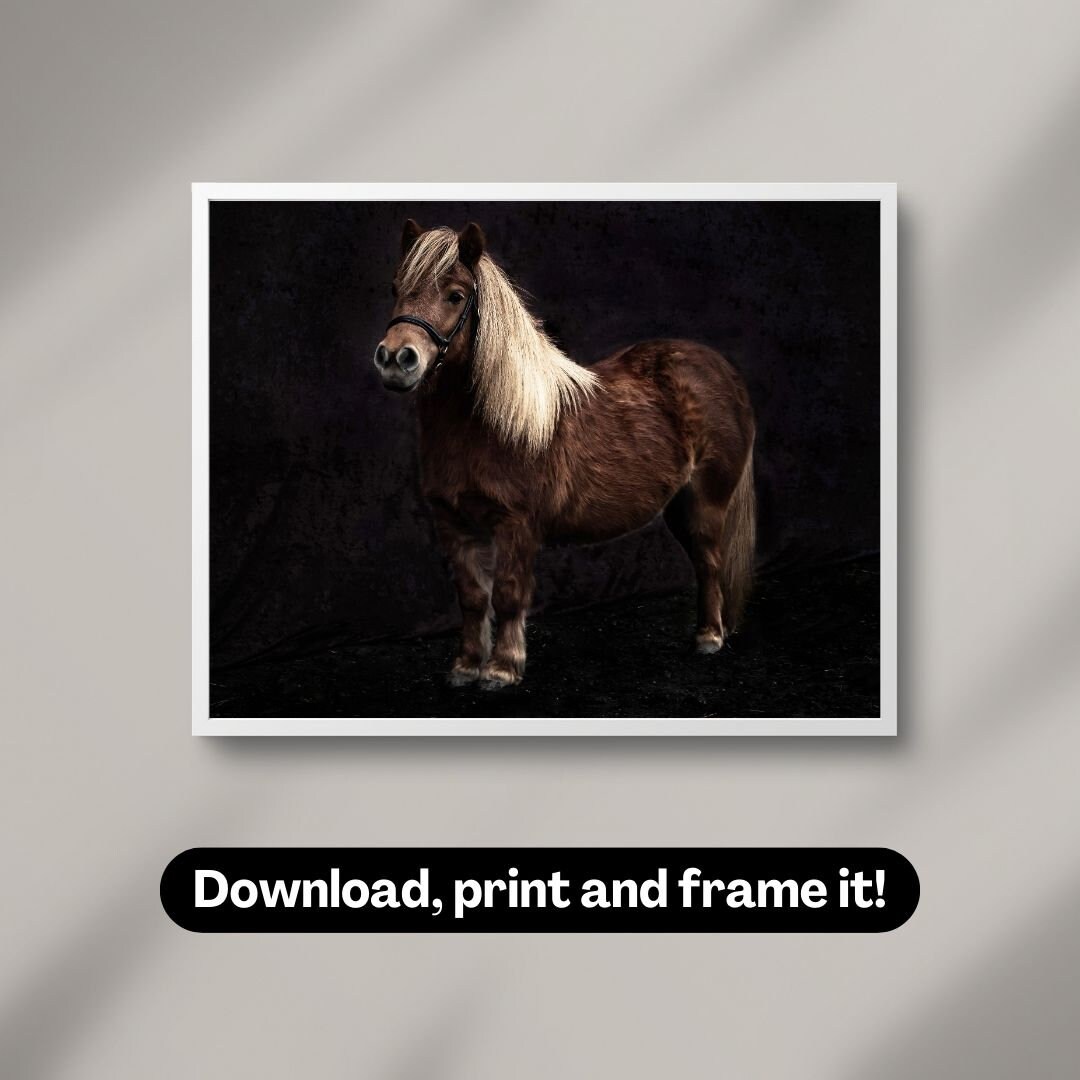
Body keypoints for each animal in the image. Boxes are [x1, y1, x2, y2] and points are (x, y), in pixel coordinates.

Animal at [374, 219, 756, 690]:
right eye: (396, 288)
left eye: (456, 295)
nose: (395, 358)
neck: (489, 426)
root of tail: (720, 368)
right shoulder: (454, 524)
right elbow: (473, 596)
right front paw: (465, 666)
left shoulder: (516, 525)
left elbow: (508, 593)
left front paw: (502, 669)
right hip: (678, 506)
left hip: (706, 503)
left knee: (709, 562)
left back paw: (709, 638)